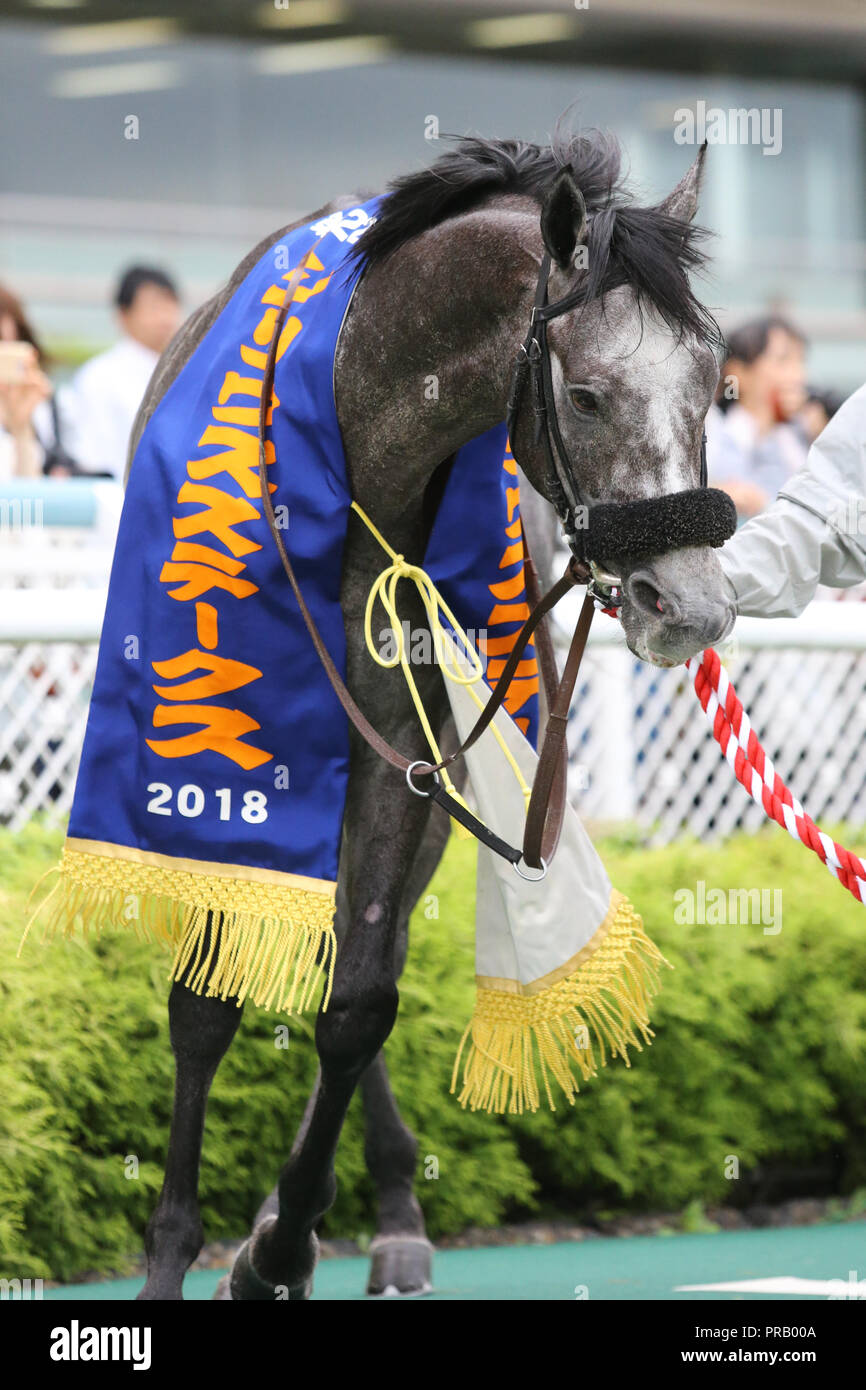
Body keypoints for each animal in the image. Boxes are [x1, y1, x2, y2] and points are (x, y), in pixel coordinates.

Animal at [130, 127, 735, 1301]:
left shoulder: (400, 746)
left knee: (369, 948)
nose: (686, 604)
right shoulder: (225, 743)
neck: (351, 448)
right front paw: (178, 1252)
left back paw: (380, 1214)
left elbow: (360, 1002)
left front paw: (279, 1245)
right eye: (586, 395)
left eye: (713, 383)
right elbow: (206, 999)